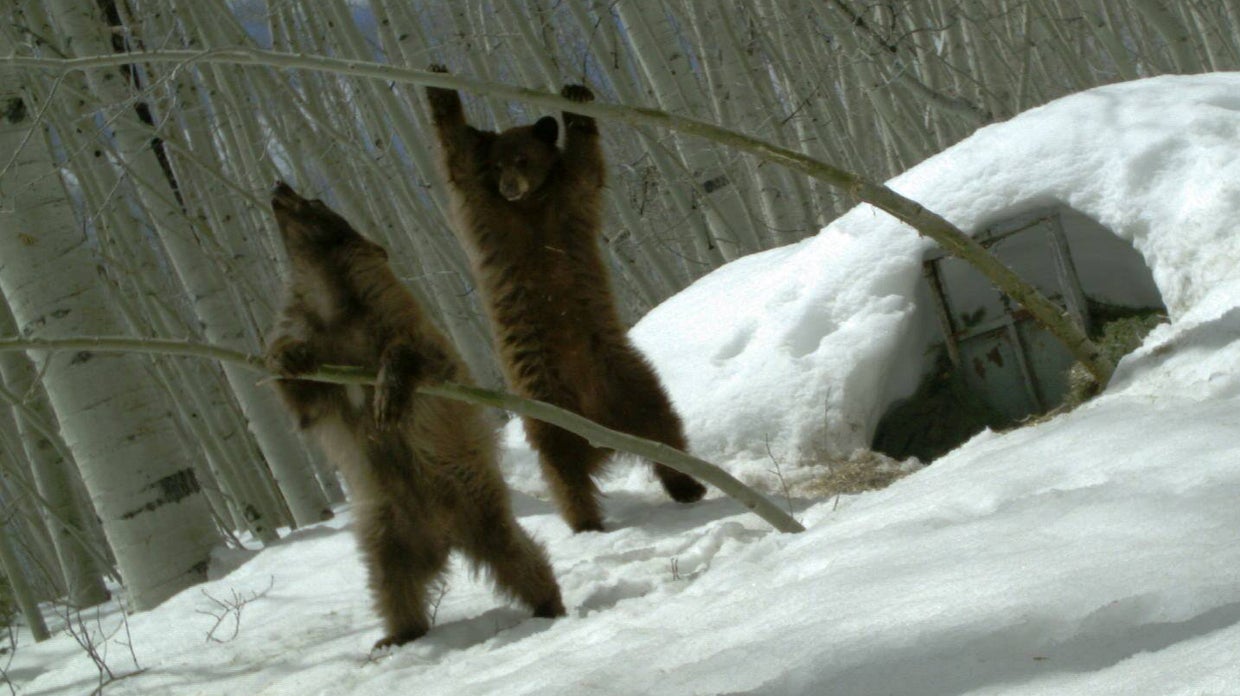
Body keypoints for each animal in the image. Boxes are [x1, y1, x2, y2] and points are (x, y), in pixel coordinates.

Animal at [263, 181, 564, 648]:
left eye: (313, 201)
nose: (279, 185)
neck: (329, 299)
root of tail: (443, 536)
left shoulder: (395, 314)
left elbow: (412, 347)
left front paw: (387, 393)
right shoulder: (314, 339)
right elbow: (302, 400)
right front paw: (287, 357)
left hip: (475, 500)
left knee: (513, 551)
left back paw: (549, 601)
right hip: (384, 529)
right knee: (391, 584)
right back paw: (395, 636)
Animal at [424, 67, 707, 533]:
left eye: (522, 158)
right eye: (498, 163)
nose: (508, 185)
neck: (531, 205)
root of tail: (601, 432)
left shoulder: (567, 196)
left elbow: (586, 163)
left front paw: (575, 98)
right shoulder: (486, 209)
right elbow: (458, 156)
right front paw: (440, 87)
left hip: (630, 379)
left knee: (664, 426)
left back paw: (687, 482)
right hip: (544, 407)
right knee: (562, 469)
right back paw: (587, 520)